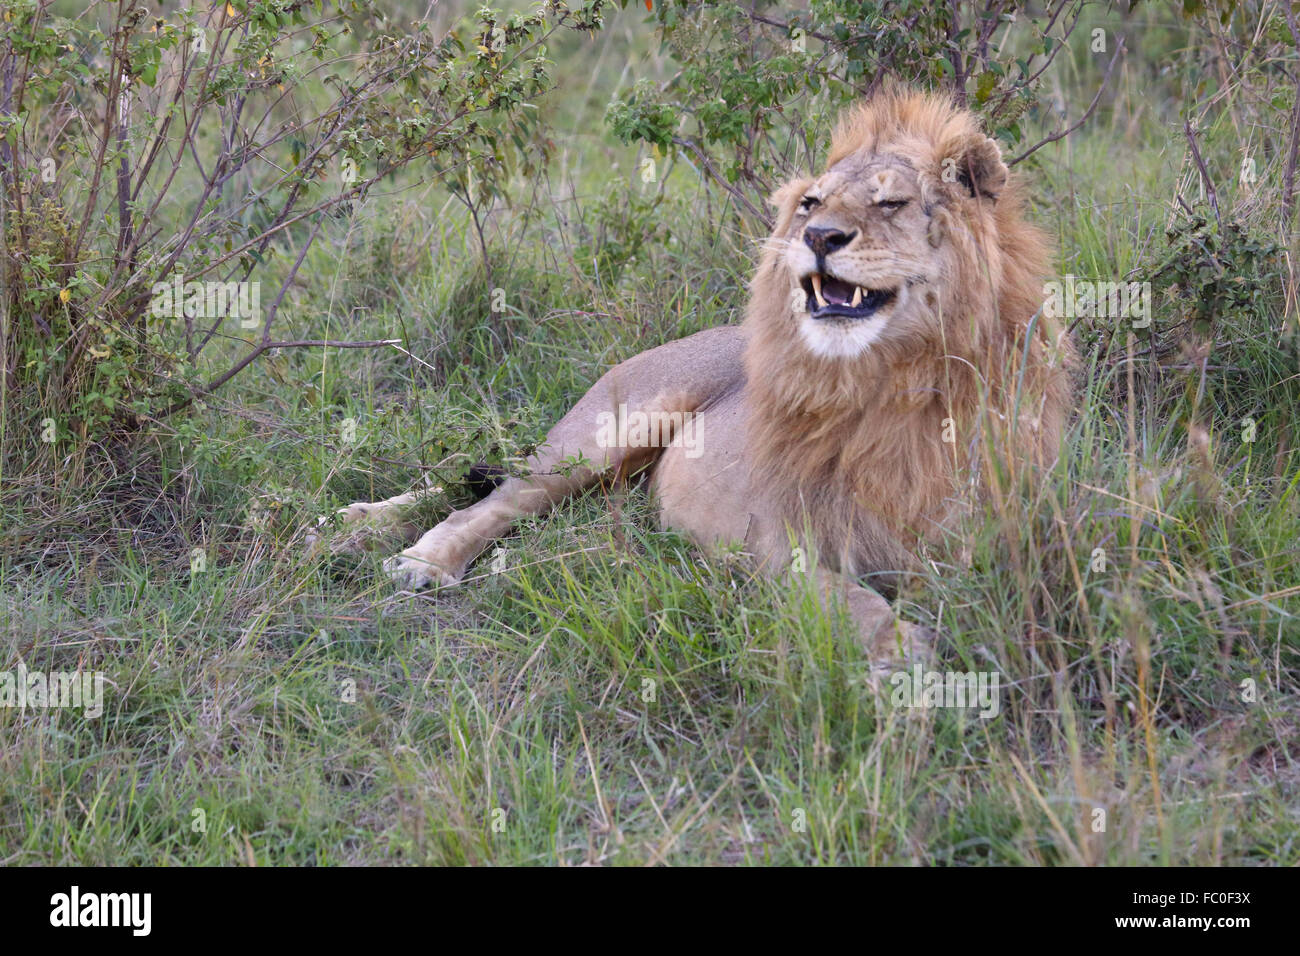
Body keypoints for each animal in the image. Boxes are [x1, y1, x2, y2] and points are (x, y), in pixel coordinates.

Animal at [333, 88, 1074, 659]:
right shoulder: (782, 541)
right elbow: (853, 601)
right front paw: (903, 657)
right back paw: (415, 559)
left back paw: (357, 522)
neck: (885, 381)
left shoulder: (983, 540)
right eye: (811, 205)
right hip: (601, 434)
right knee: (495, 499)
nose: (819, 238)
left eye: (891, 204)